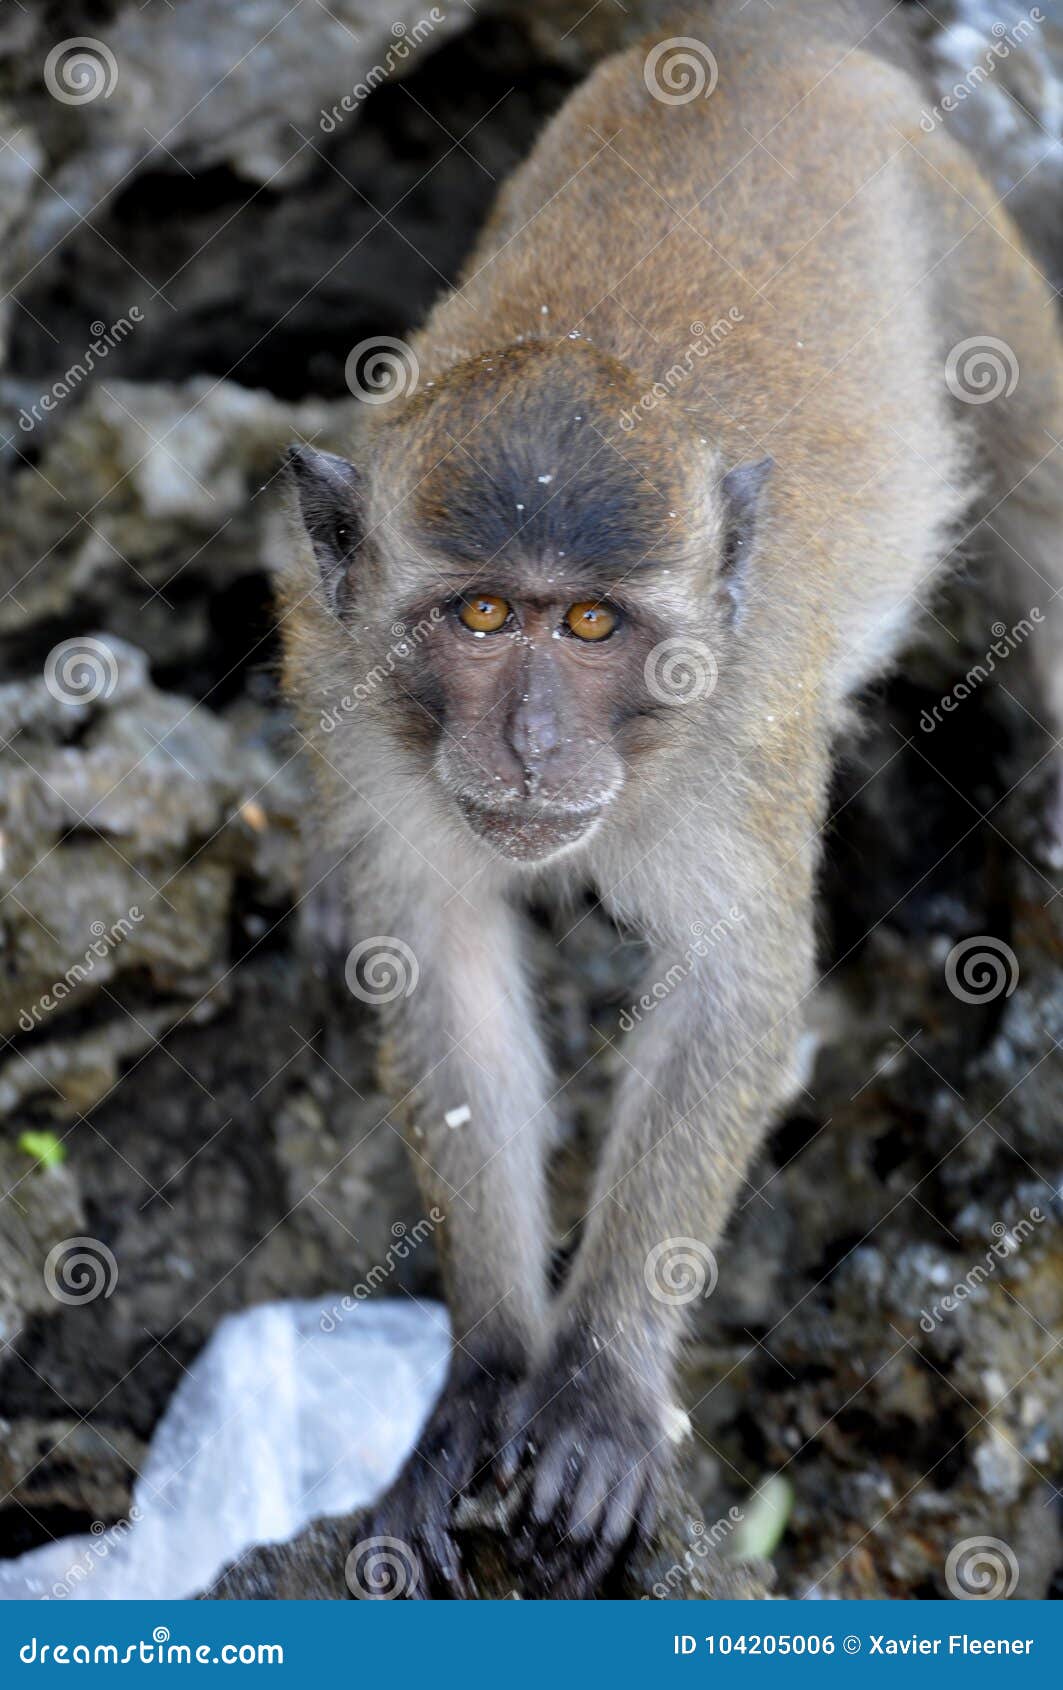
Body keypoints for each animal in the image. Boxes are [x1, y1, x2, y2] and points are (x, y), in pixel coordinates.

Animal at [281, 0, 1063, 1598]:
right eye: (480, 616)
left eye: (590, 625)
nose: (527, 743)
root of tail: (748, 44)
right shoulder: (344, 690)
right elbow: (441, 968)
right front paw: (485, 1369)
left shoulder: (741, 718)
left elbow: (728, 980)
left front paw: (594, 1389)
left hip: (966, 252)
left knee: (1036, 499)